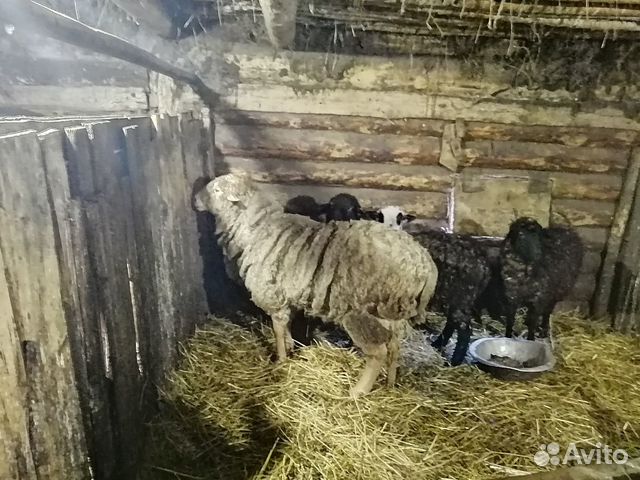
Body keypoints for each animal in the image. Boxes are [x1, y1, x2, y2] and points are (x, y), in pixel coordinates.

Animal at [195, 174, 438, 397]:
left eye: (216, 190)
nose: (195, 200)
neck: (256, 228)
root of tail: (425, 263)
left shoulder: (272, 294)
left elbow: (277, 329)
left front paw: (281, 360)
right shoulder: (286, 294)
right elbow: (286, 325)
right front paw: (290, 347)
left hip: (363, 312)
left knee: (377, 351)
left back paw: (357, 392)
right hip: (391, 310)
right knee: (394, 346)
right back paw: (390, 383)